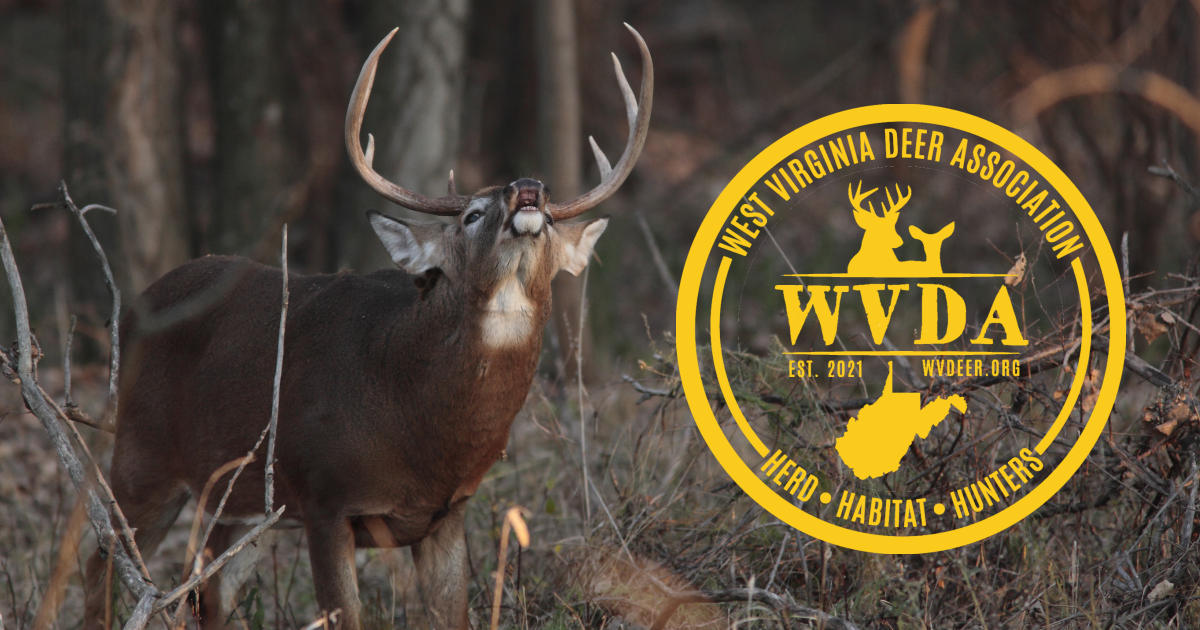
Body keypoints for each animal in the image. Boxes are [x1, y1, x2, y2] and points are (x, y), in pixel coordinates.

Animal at [82, 24, 651, 630]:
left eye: (543, 214)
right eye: (471, 214)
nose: (528, 186)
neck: (413, 417)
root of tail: (134, 309)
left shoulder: (448, 512)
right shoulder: (323, 497)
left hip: (240, 500)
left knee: (207, 589)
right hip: (143, 452)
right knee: (103, 563)